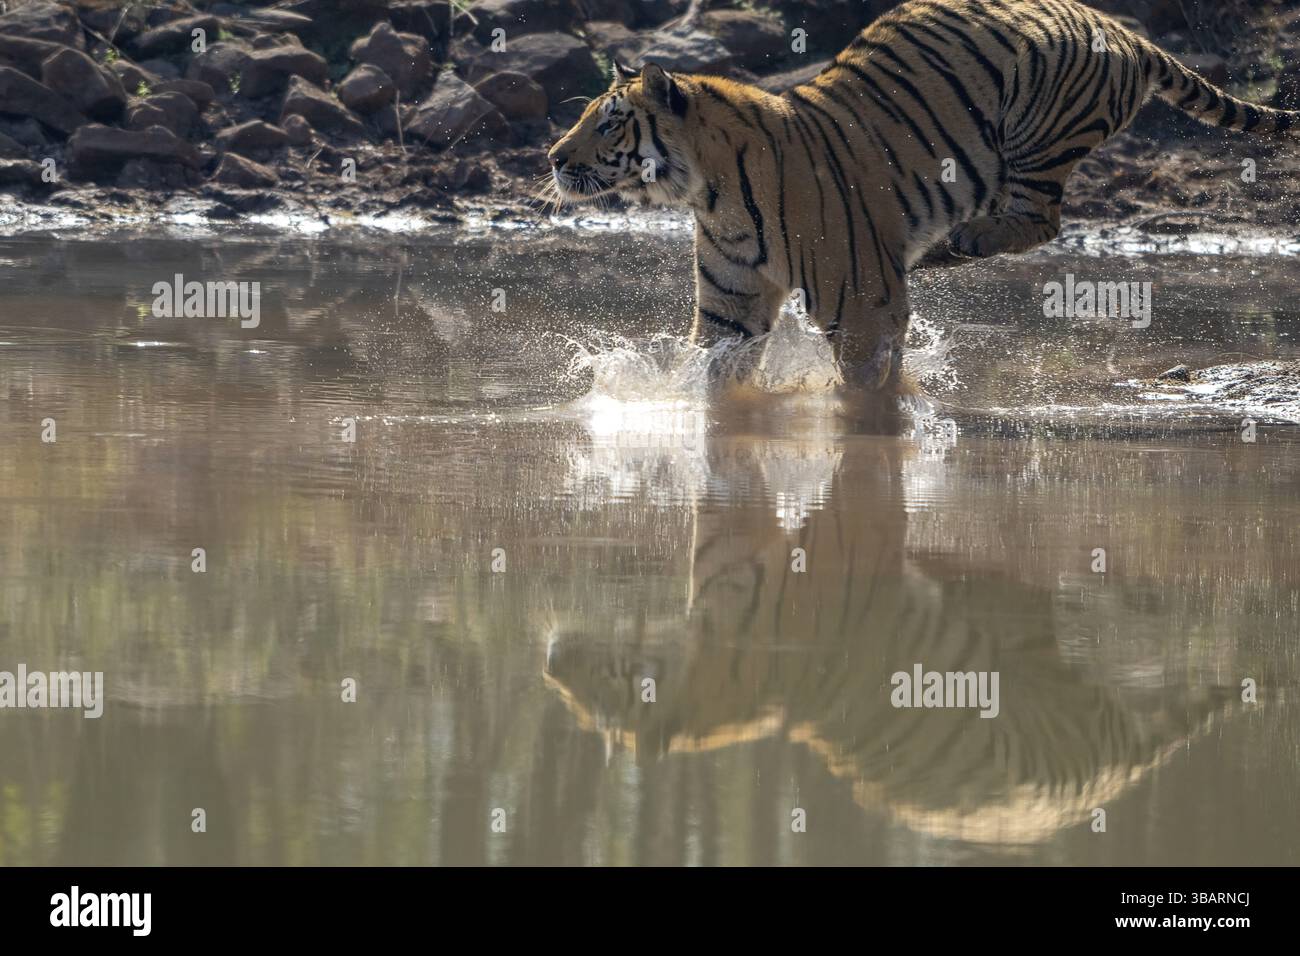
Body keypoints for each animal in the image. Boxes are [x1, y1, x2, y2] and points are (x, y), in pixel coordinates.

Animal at [545, 0, 1300, 389]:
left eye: (609, 121)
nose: (552, 158)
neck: (709, 191)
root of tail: (1125, 30)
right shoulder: (730, 304)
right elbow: (713, 384)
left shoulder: (861, 302)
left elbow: (866, 394)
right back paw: (942, 251)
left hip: (1035, 128)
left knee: (1043, 216)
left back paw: (959, 243)